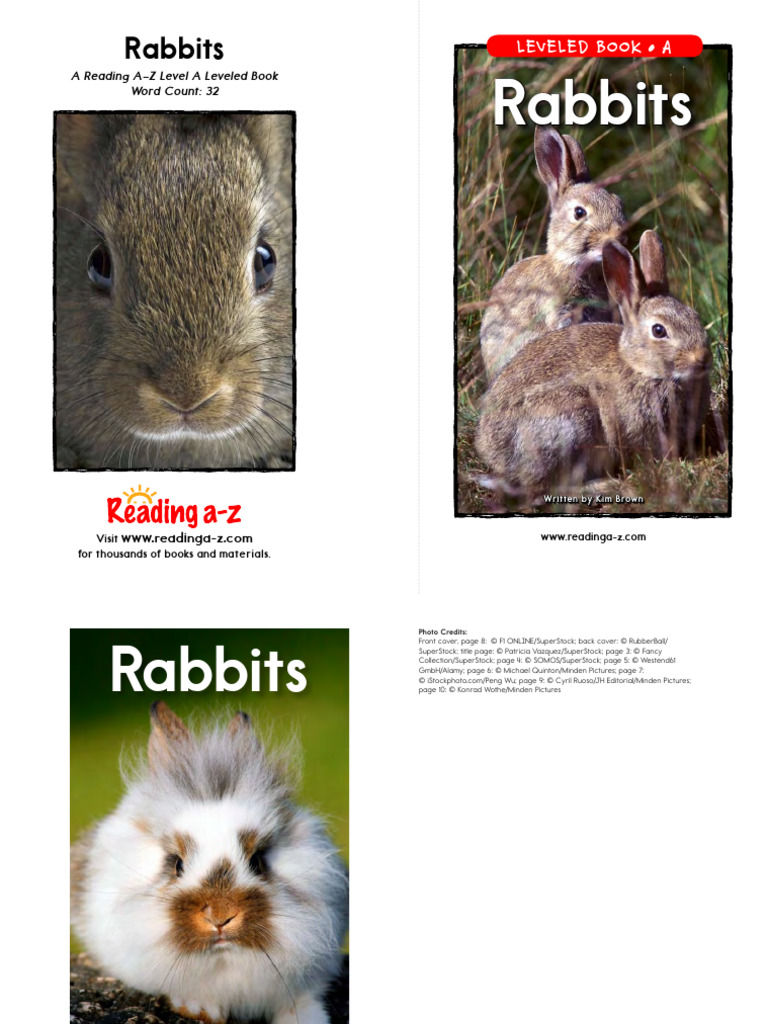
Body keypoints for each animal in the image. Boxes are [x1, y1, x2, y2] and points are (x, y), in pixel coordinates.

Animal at [475, 230, 712, 495]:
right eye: (659, 331)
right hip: (572, 422)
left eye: (695, 317)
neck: (640, 367)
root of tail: (490, 450)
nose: (702, 357)